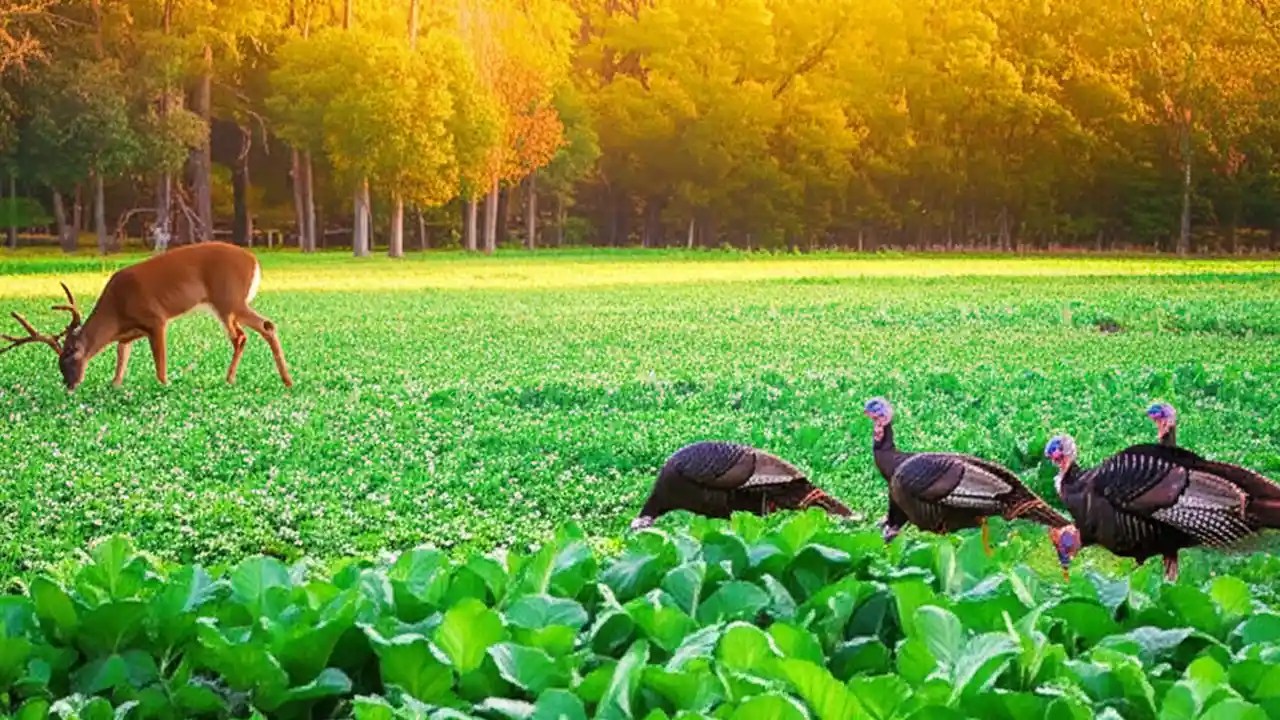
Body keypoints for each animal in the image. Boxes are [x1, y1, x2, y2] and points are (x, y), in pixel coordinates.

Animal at [1, 242, 293, 390]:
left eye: (69, 359)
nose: (69, 385)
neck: (116, 313)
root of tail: (254, 261)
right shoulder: (129, 333)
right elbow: (121, 357)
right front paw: (115, 384)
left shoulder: (155, 318)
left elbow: (159, 363)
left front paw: (164, 385)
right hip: (225, 306)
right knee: (241, 336)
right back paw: (234, 378)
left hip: (229, 299)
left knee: (264, 326)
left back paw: (285, 381)